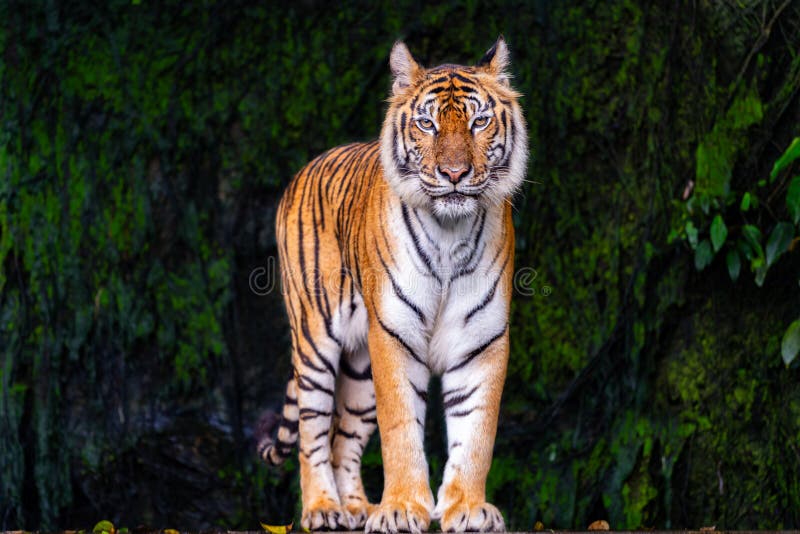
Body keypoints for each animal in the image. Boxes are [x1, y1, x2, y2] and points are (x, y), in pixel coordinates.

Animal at [257, 37, 528, 533]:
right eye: (427, 123)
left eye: (479, 121)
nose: (455, 174)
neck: (449, 233)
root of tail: (307, 167)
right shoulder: (394, 337)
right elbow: (401, 429)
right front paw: (402, 508)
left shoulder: (482, 340)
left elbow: (476, 432)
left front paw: (466, 508)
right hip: (315, 342)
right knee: (311, 433)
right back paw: (322, 509)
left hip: (361, 369)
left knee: (343, 439)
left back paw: (357, 509)